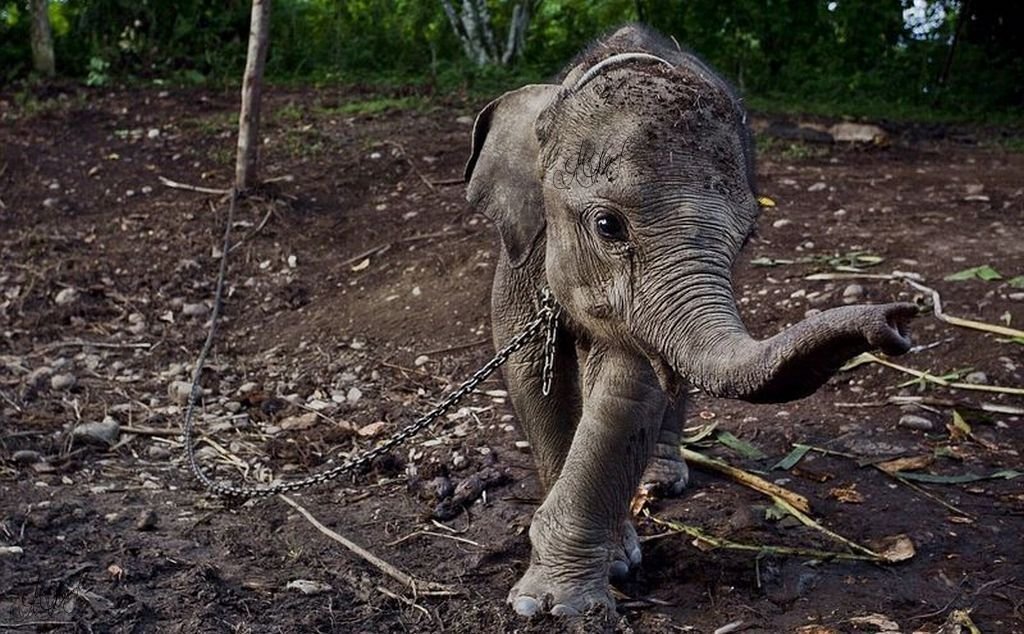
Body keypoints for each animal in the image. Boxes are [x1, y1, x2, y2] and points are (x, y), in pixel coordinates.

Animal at [462, 23, 913, 614]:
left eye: (747, 237)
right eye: (608, 225)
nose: (896, 321)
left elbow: (630, 389)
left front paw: (567, 599)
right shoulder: (520, 251)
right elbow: (532, 371)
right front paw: (558, 596)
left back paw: (659, 480)